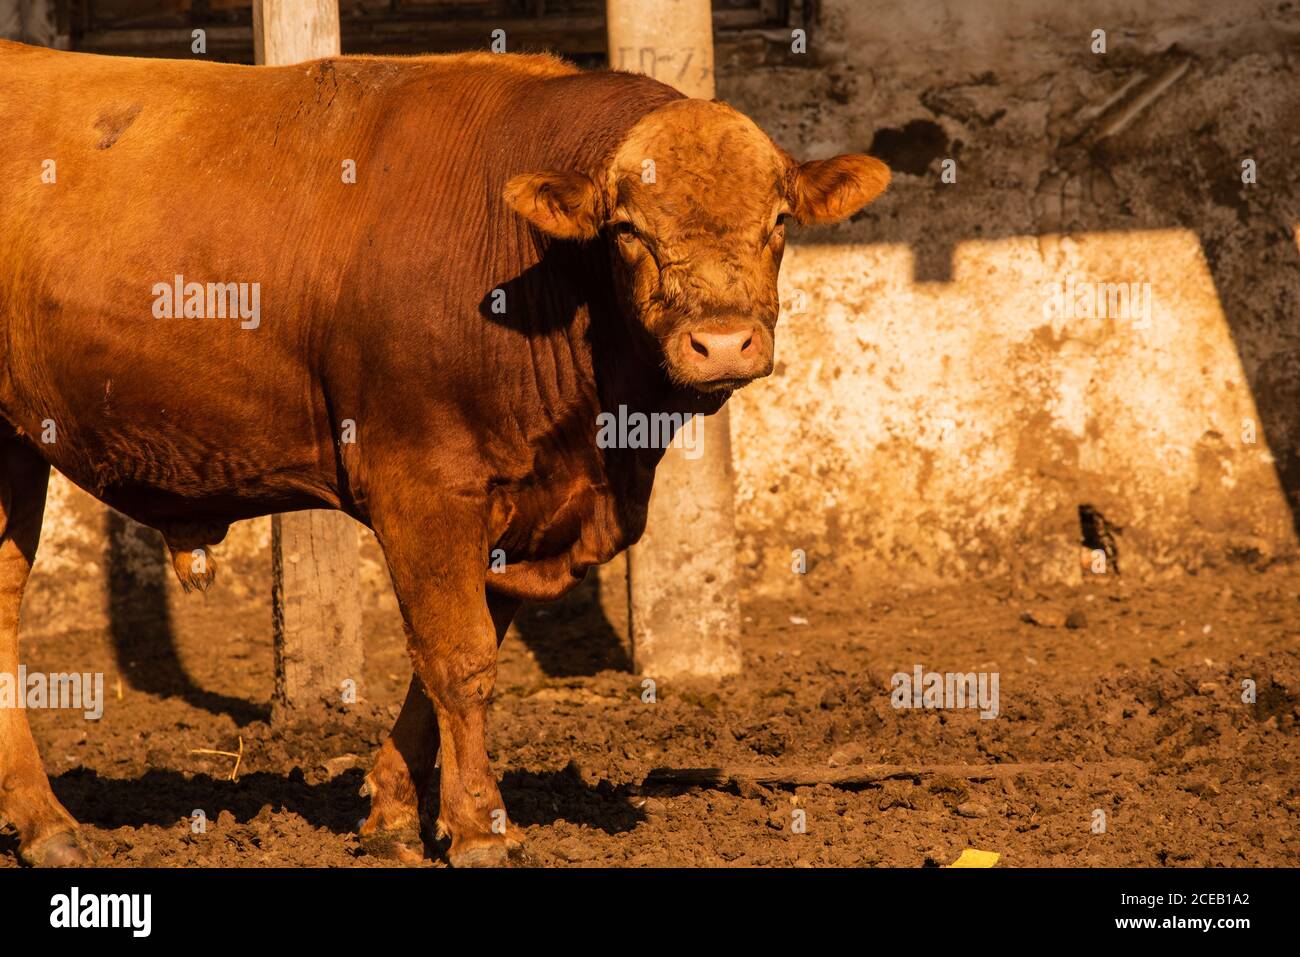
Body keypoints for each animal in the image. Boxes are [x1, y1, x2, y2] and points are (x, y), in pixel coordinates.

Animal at [0, 39, 889, 867]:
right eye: (630, 230)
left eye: (779, 222)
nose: (724, 342)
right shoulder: (424, 484)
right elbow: (460, 660)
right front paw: (479, 826)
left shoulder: (517, 507)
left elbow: (448, 662)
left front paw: (392, 809)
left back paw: (43, 823)